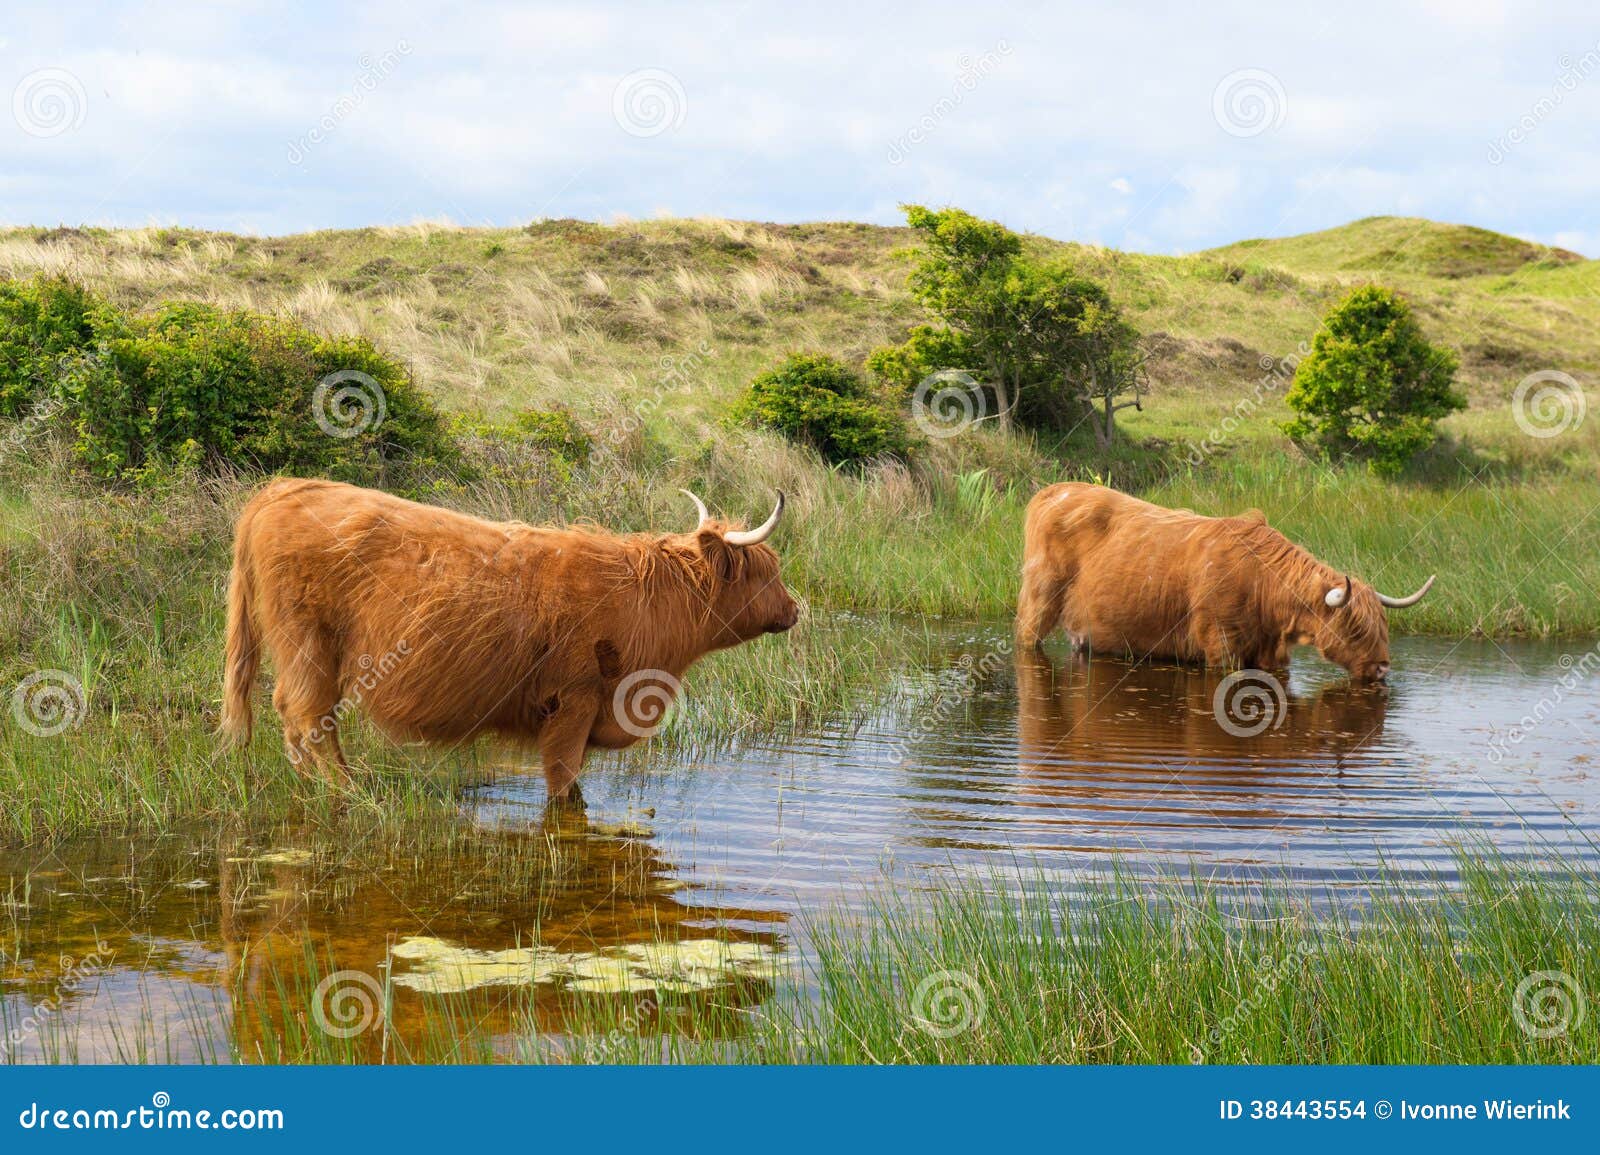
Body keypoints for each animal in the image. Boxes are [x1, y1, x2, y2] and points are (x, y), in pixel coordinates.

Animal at [220, 479, 798, 799]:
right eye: (767, 573)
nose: (796, 609)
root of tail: (282, 489)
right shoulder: (573, 704)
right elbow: (564, 788)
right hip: (309, 647)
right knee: (308, 717)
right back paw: (349, 792)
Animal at [1015, 482, 1434, 682]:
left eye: (1383, 627)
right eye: (1355, 628)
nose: (1383, 669)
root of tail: (1053, 491)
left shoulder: (1272, 657)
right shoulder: (1221, 645)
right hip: (1039, 599)